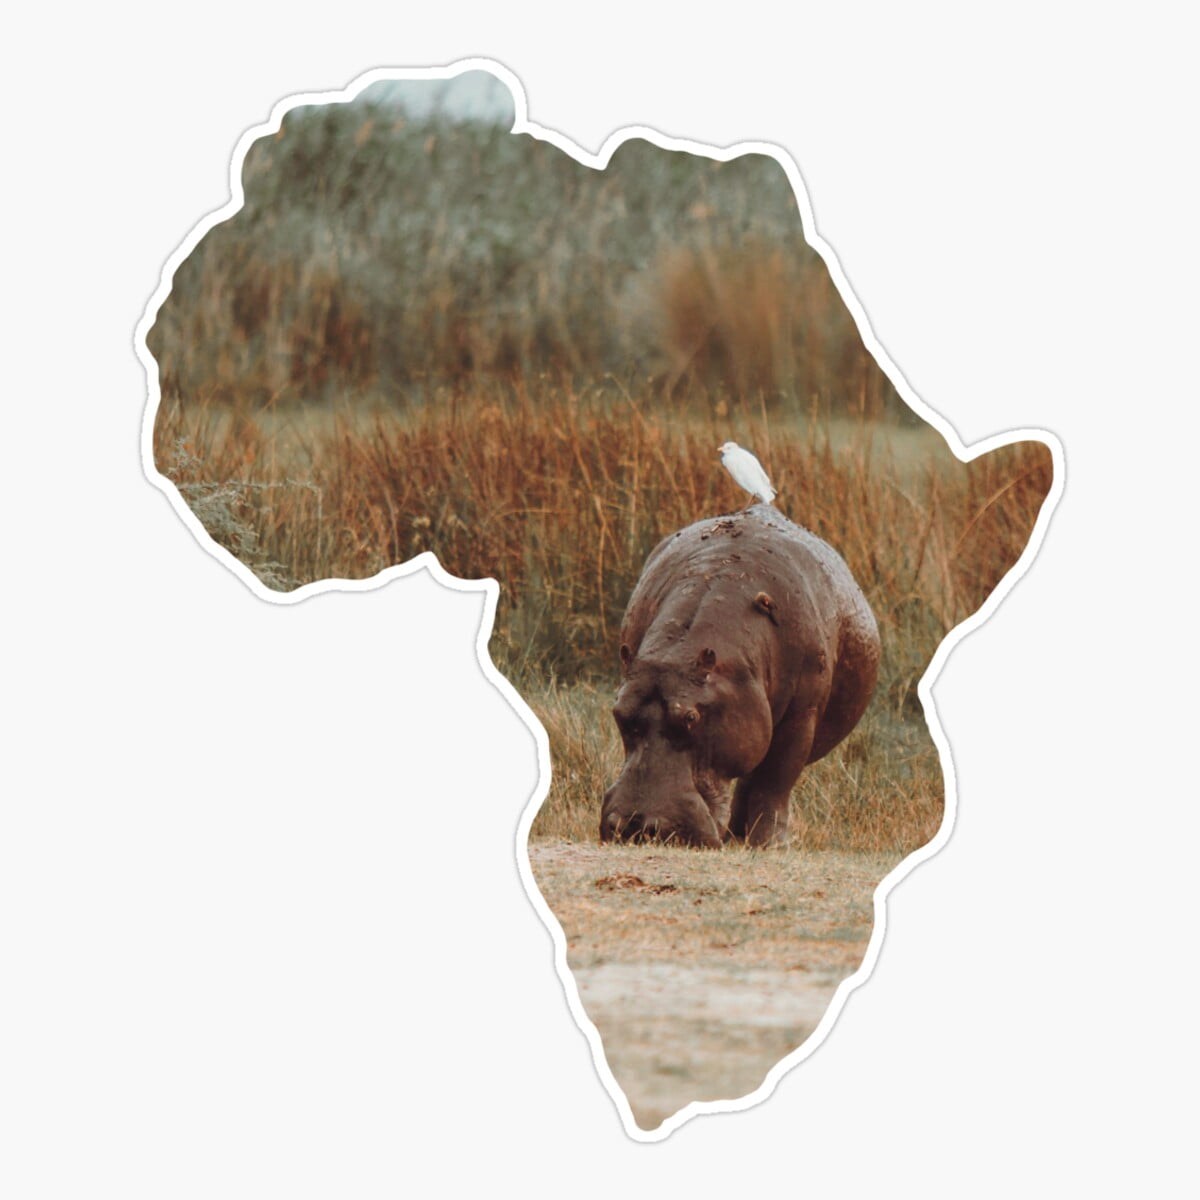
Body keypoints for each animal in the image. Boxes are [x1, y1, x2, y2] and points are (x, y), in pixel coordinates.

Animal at [600, 505, 880, 848]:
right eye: (618, 712)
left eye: (691, 717)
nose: (636, 825)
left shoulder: (801, 716)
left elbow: (775, 781)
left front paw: (770, 845)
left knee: (758, 780)